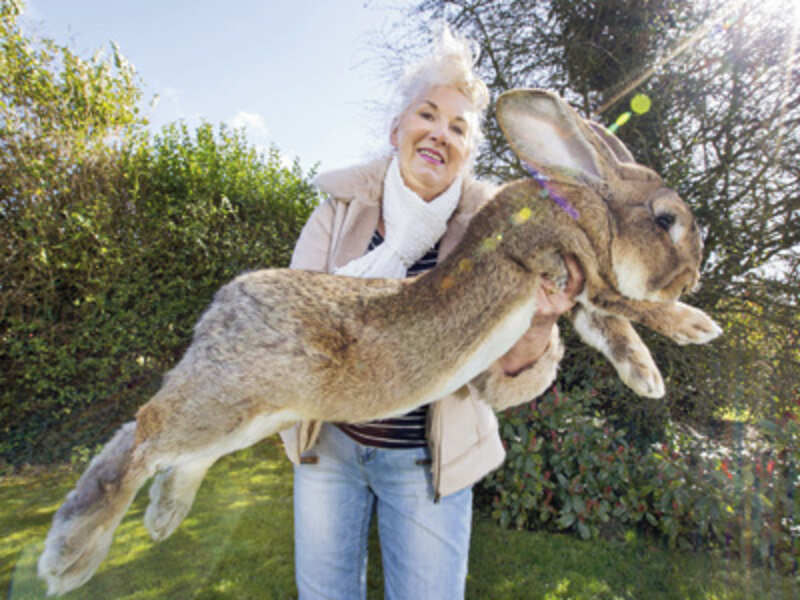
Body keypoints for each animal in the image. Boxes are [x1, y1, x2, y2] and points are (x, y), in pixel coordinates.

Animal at [37, 88, 721, 596]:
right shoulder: (567, 264)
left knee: (169, 449)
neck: (586, 206)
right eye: (666, 220)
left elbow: (611, 328)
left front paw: (647, 378)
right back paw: (70, 555)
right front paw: (695, 325)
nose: (693, 275)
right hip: (231, 398)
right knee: (146, 432)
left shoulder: (576, 296)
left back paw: (159, 518)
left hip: (253, 415)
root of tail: (220, 311)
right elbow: (626, 304)